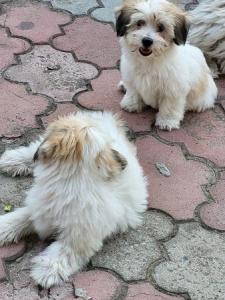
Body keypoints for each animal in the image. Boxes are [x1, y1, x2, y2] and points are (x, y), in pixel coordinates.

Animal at [0, 111, 149, 288]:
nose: (122, 163)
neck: (75, 179)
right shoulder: (40, 208)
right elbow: (19, 217)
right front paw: (3, 227)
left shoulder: (80, 236)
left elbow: (65, 252)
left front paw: (47, 270)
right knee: (32, 151)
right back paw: (11, 160)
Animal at [116, 0, 218, 131]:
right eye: (139, 23)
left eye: (161, 27)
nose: (147, 41)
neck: (150, 60)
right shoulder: (130, 76)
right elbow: (133, 91)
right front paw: (131, 104)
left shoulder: (174, 89)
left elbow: (170, 104)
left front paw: (167, 121)